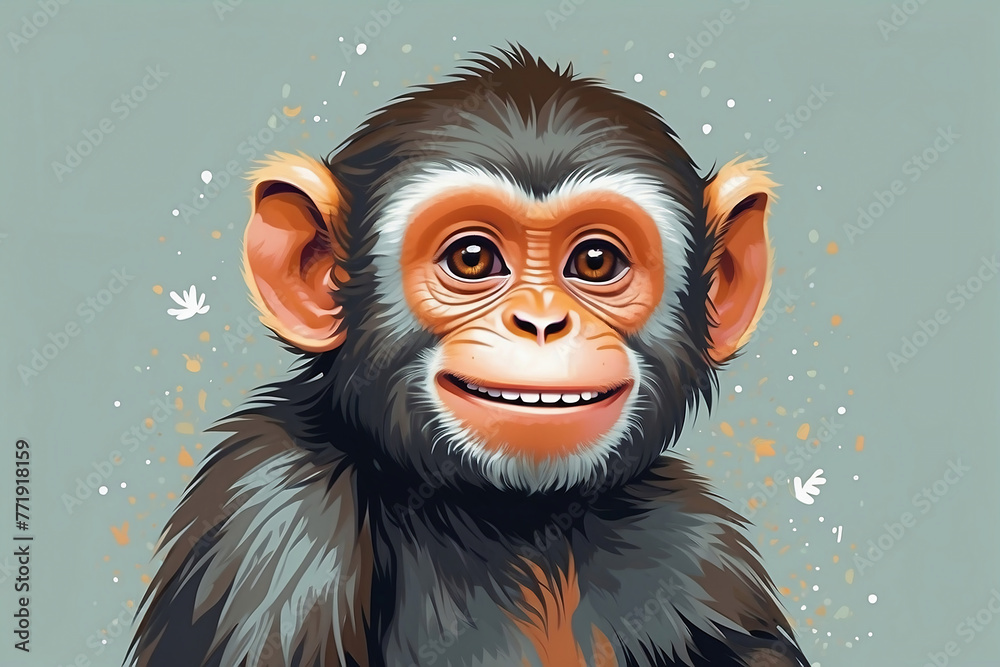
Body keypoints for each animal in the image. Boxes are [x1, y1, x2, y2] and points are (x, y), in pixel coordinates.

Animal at [125, 46, 809, 667]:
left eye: (595, 261)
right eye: (472, 258)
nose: (541, 322)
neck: (520, 524)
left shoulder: (704, 552)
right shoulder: (272, 530)